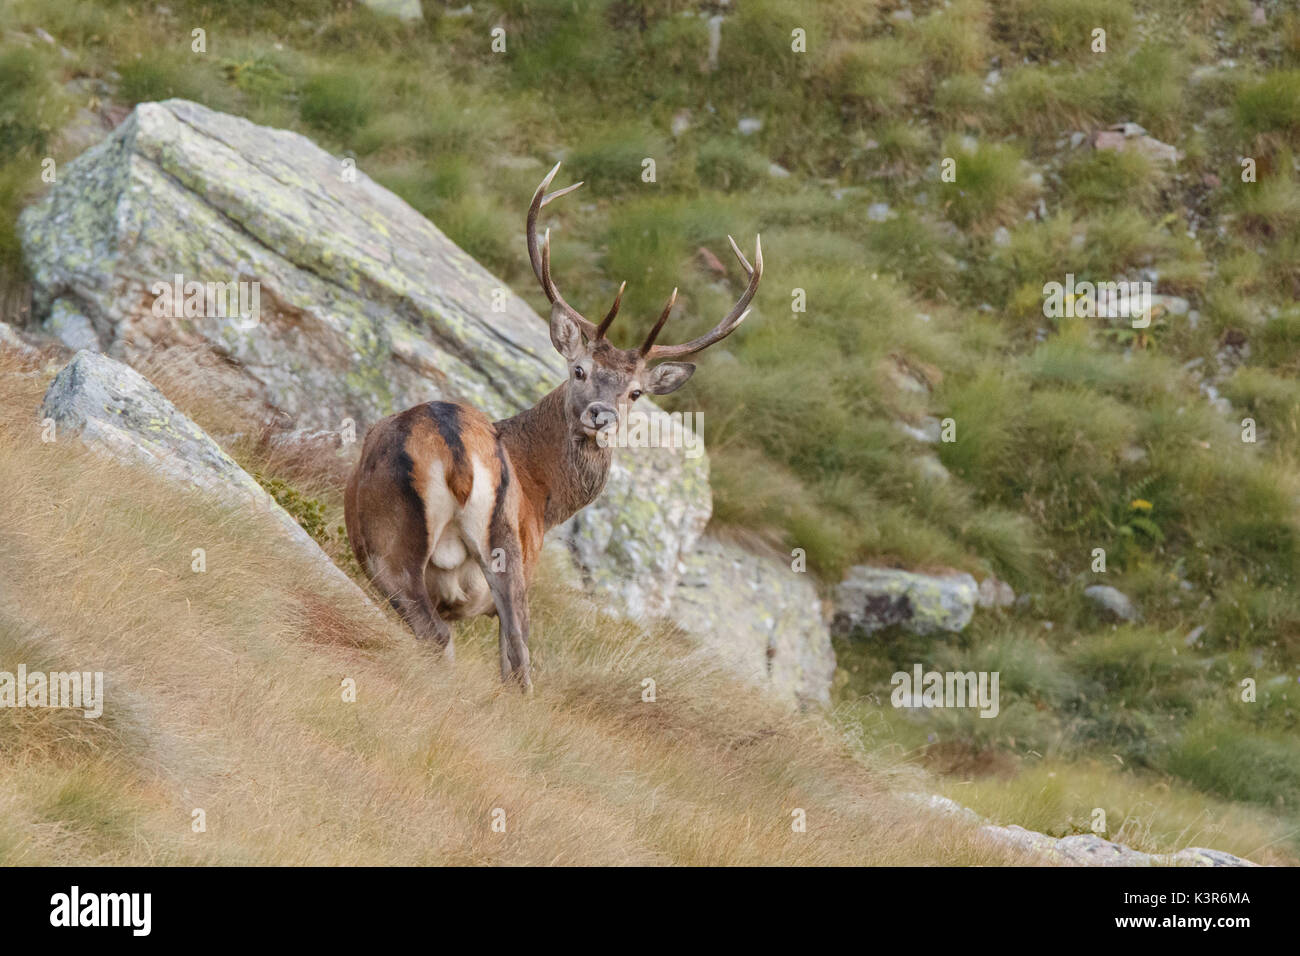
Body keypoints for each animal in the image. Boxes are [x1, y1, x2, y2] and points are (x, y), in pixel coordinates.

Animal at [344, 163, 762, 690]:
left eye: (635, 392)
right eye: (579, 370)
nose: (602, 414)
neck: (546, 499)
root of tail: (454, 452)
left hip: (403, 548)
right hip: (465, 549)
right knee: (504, 654)